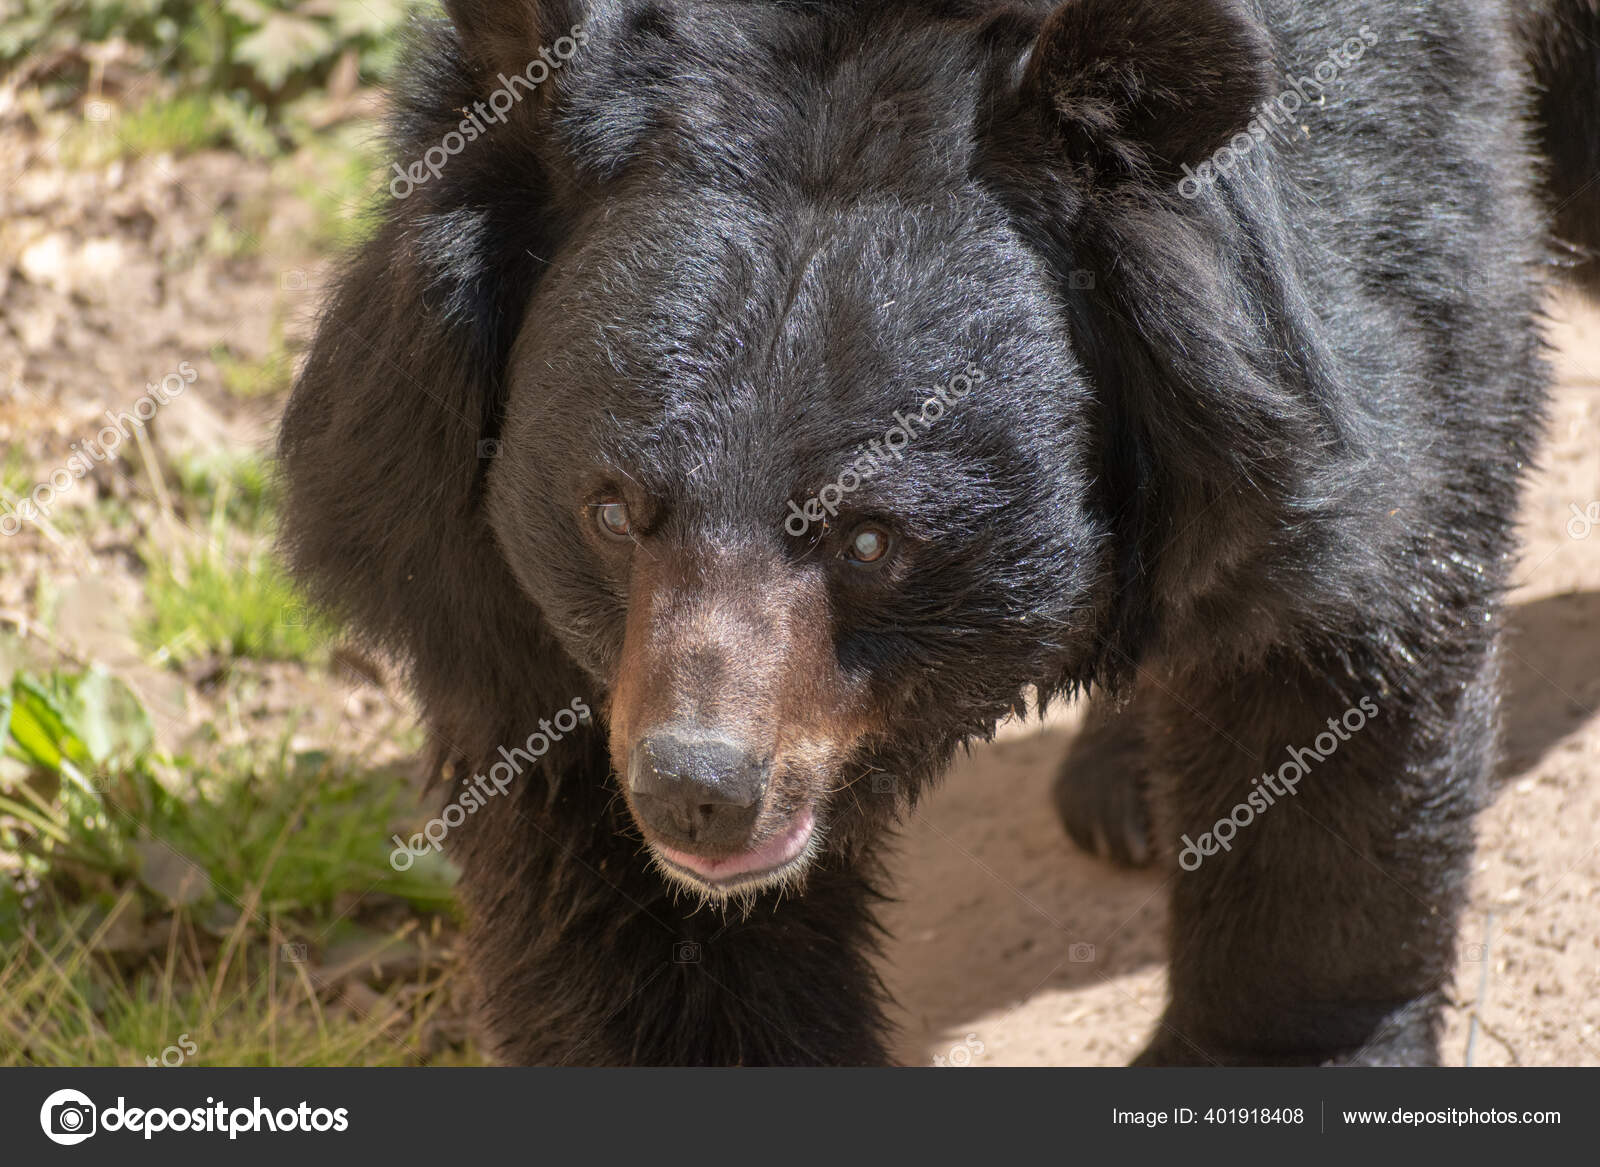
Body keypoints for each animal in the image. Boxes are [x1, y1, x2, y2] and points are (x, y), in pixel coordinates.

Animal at [279, 0, 1586, 1065]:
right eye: (609, 512)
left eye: (868, 540)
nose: (697, 793)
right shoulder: (502, 586)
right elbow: (605, 884)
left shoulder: (1376, 198)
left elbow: (1341, 631)